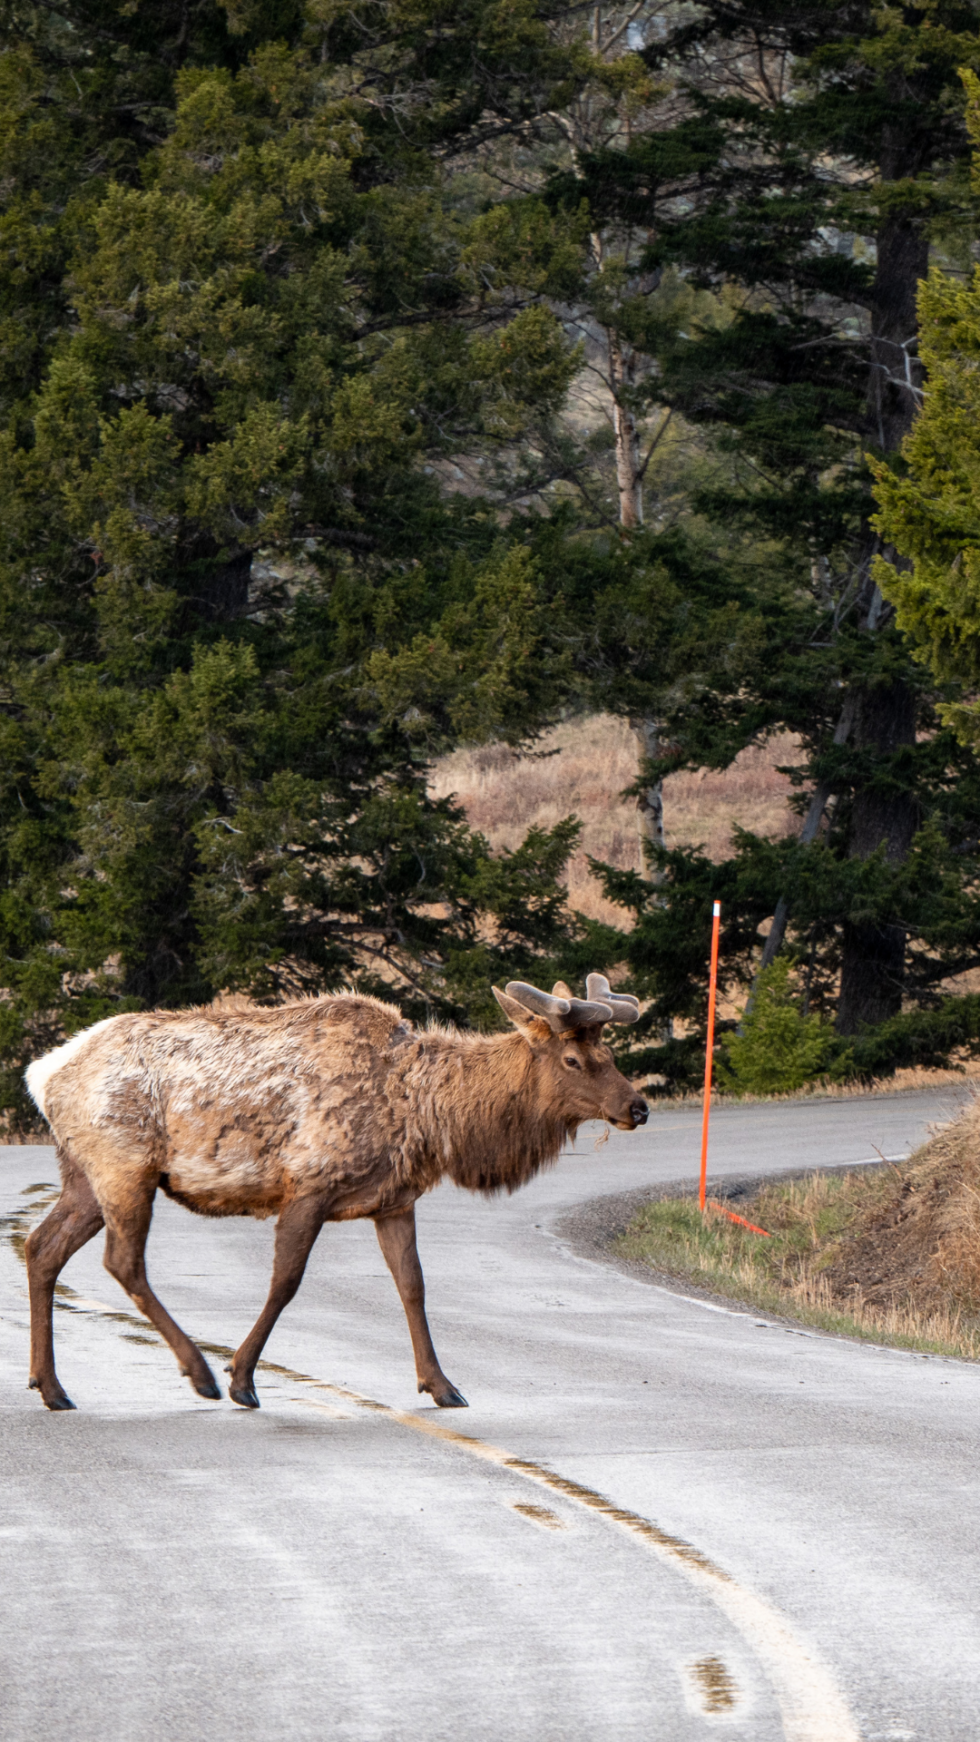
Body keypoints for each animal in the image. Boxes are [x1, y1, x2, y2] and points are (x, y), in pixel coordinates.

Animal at [23, 973, 648, 1412]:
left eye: (612, 1056)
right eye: (573, 1059)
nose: (638, 1107)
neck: (430, 1115)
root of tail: (43, 1074)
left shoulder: (394, 1200)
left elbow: (413, 1286)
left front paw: (442, 1385)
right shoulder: (309, 1185)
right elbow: (285, 1282)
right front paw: (242, 1379)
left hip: (85, 1177)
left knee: (41, 1248)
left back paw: (51, 1386)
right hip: (125, 1166)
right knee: (122, 1260)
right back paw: (199, 1373)